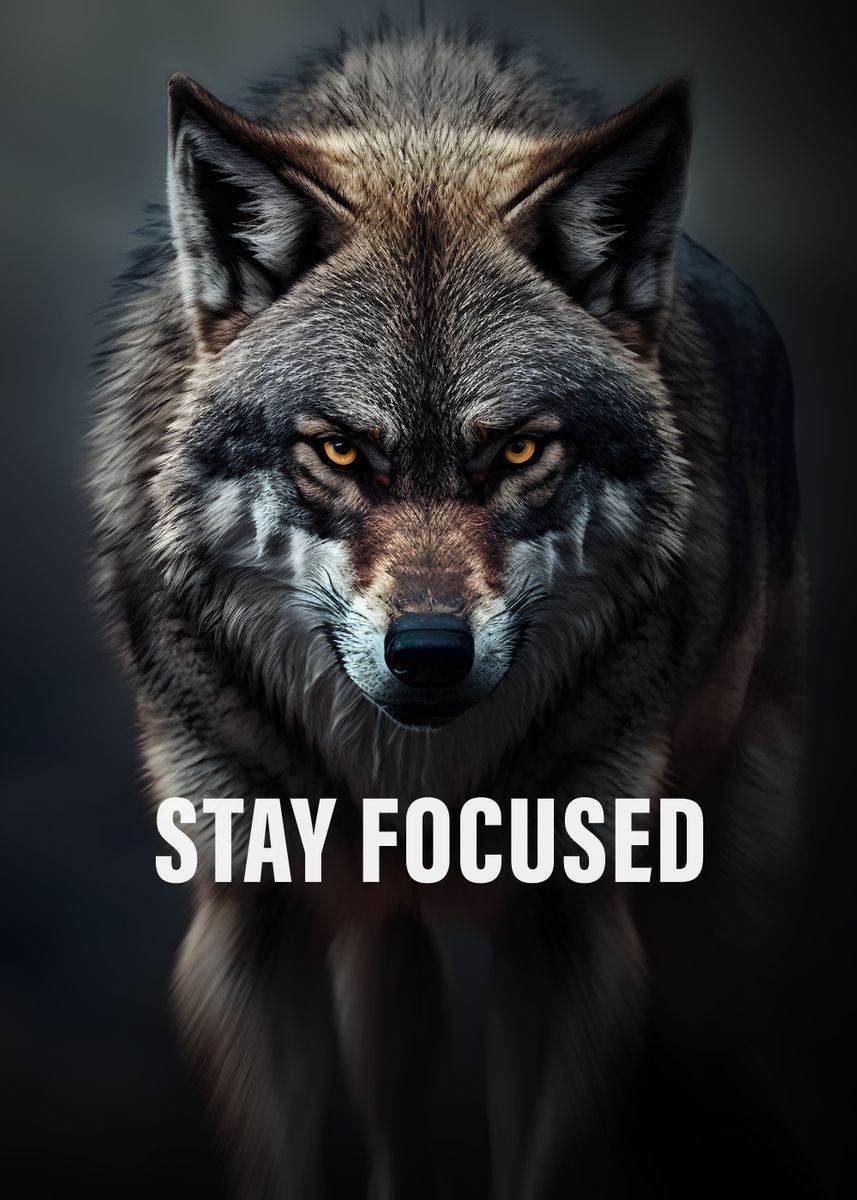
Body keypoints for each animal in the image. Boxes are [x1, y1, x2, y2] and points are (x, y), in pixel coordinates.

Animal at [90, 21, 804, 1200]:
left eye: (518, 450)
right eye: (339, 450)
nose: (427, 653)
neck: (416, 776)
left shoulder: (572, 934)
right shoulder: (249, 925)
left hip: (712, 904)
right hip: (390, 944)